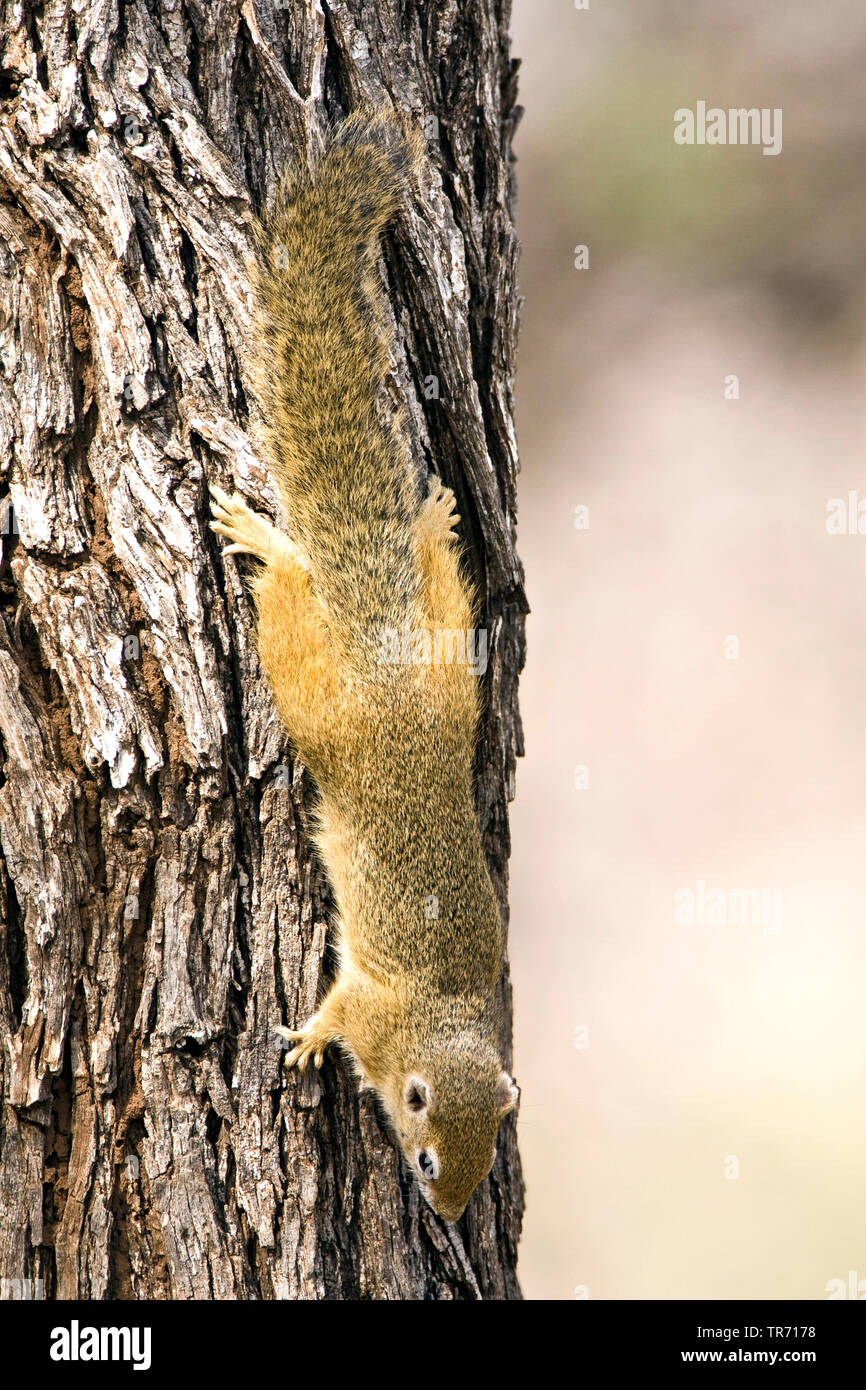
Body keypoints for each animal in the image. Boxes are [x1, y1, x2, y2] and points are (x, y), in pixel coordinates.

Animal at [209, 108, 518, 1224]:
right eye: (428, 1159)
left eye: (490, 1152)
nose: (447, 1217)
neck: (438, 1027)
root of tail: (391, 685)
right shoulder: (369, 1001)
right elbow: (335, 1010)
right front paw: (302, 1043)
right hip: (321, 706)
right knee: (294, 607)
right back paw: (265, 540)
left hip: (451, 678)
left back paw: (431, 524)